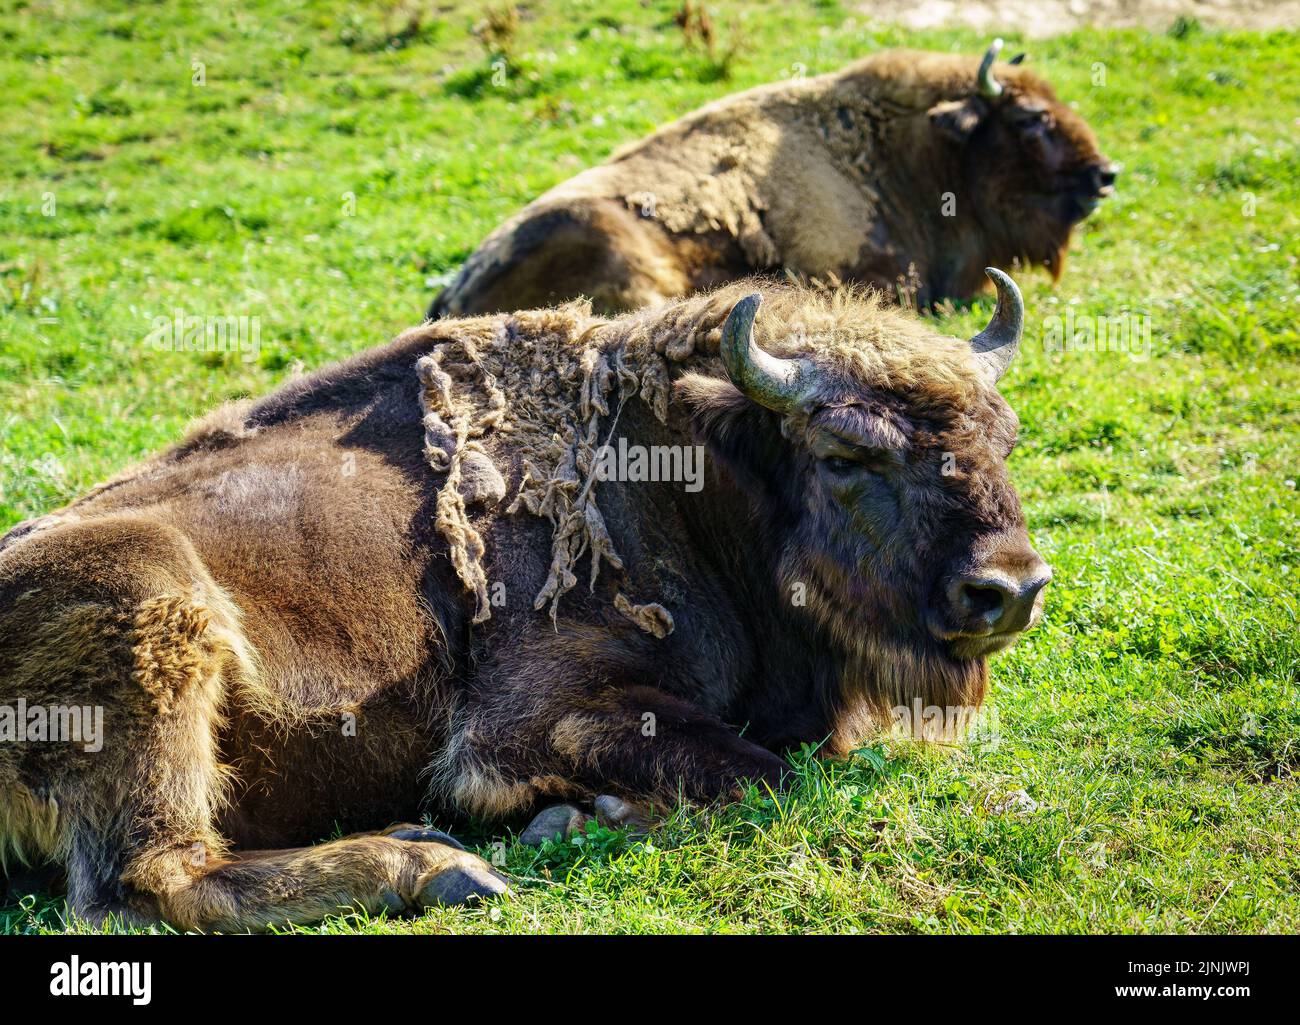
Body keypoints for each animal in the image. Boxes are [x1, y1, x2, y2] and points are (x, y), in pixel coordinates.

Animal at [0, 269, 1049, 931]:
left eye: (1004, 435)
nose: (1008, 588)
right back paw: (442, 868)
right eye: (844, 454)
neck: (688, 473)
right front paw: (573, 820)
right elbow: (767, 774)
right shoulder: (527, 719)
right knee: (152, 880)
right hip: (151, 599)